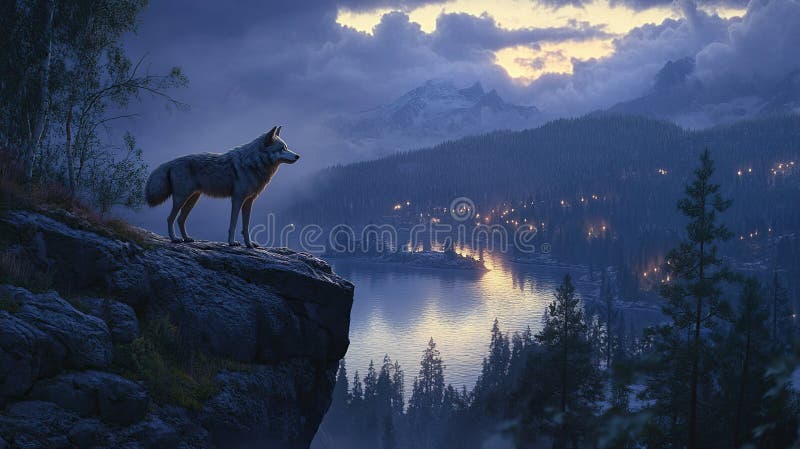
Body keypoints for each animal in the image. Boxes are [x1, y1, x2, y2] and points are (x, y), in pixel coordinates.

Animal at [145, 126, 299, 247]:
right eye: (282, 149)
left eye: (286, 147)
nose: (298, 156)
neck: (253, 163)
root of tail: (170, 162)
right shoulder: (237, 199)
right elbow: (233, 224)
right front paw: (232, 242)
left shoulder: (249, 201)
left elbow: (246, 226)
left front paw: (249, 244)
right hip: (181, 199)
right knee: (170, 218)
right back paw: (174, 239)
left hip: (192, 200)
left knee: (180, 219)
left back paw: (186, 238)